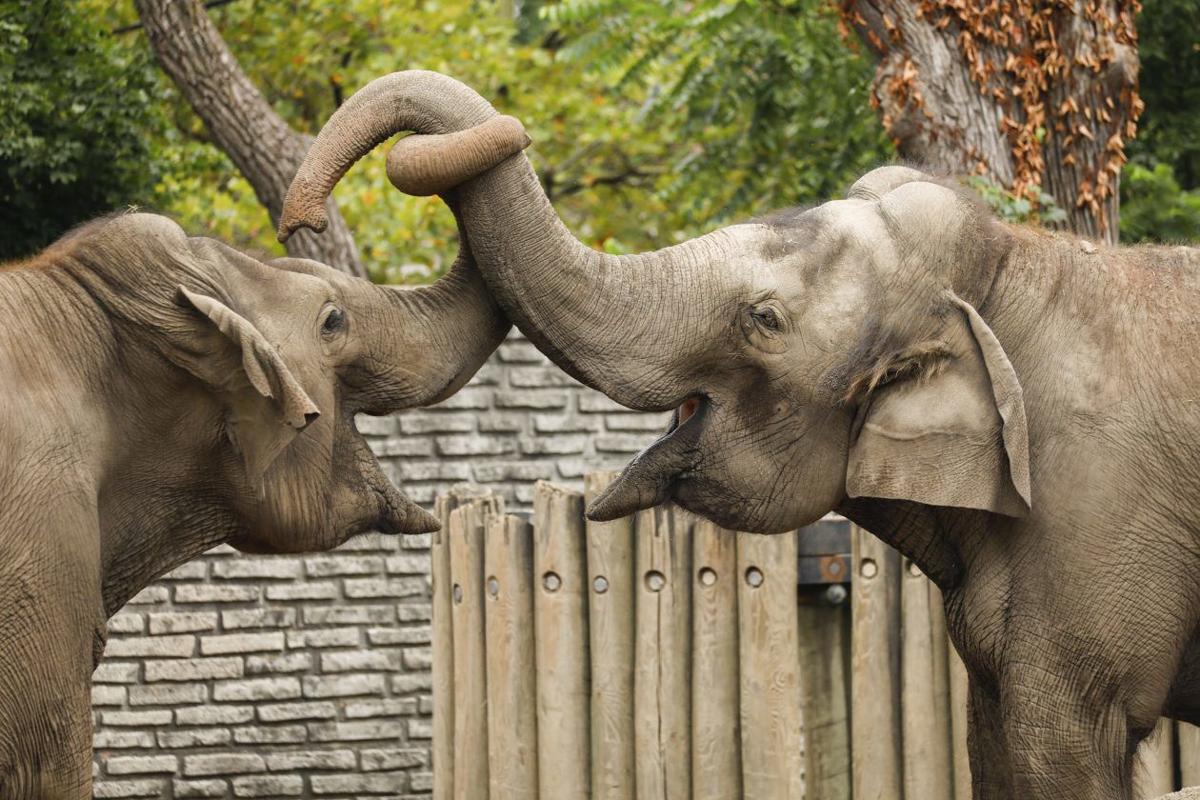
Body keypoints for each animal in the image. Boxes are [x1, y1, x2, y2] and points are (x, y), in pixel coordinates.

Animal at [280, 70, 1200, 800]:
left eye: (765, 319)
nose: (299, 224)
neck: (1018, 267)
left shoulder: (1094, 528)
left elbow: (1059, 750)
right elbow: (995, 744)